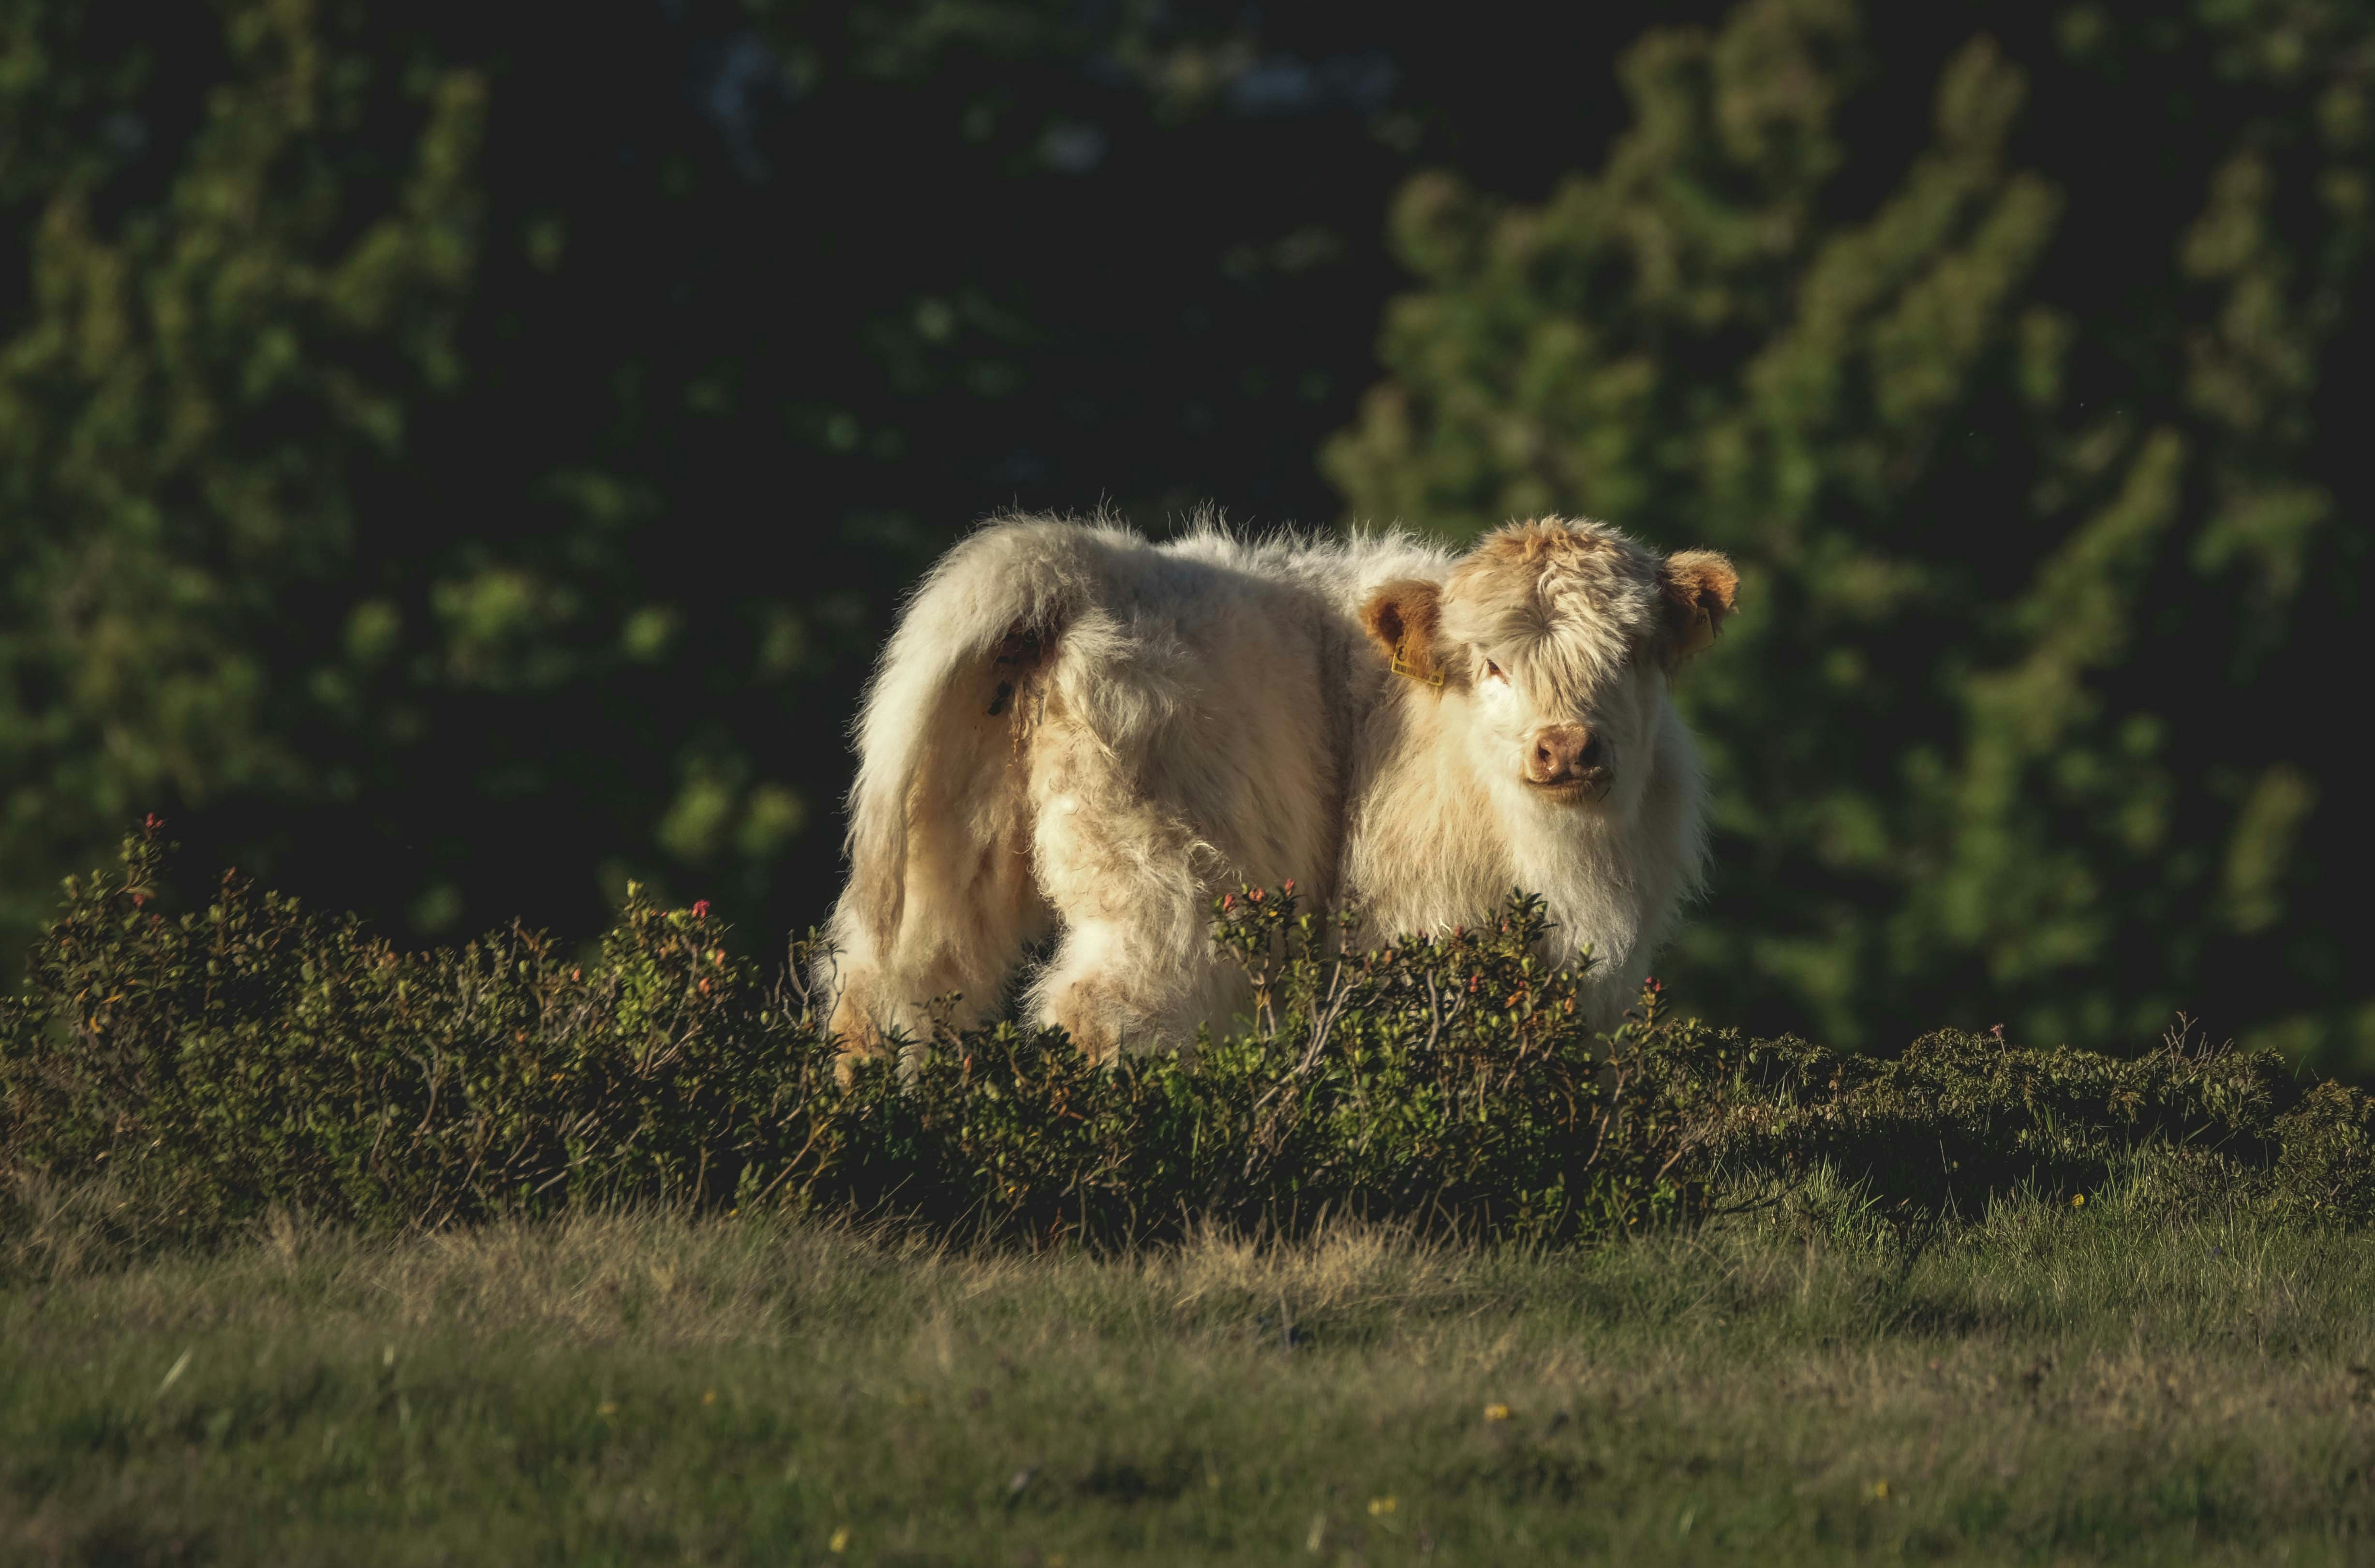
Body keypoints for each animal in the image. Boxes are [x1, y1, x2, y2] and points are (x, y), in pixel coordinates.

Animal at [820, 512, 1737, 1074]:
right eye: (1491, 665)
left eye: (1633, 652)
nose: (1567, 747)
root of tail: (1084, 559)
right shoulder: (1416, 930)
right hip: (1174, 889)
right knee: (1100, 1010)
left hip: (944, 858)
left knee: (886, 995)